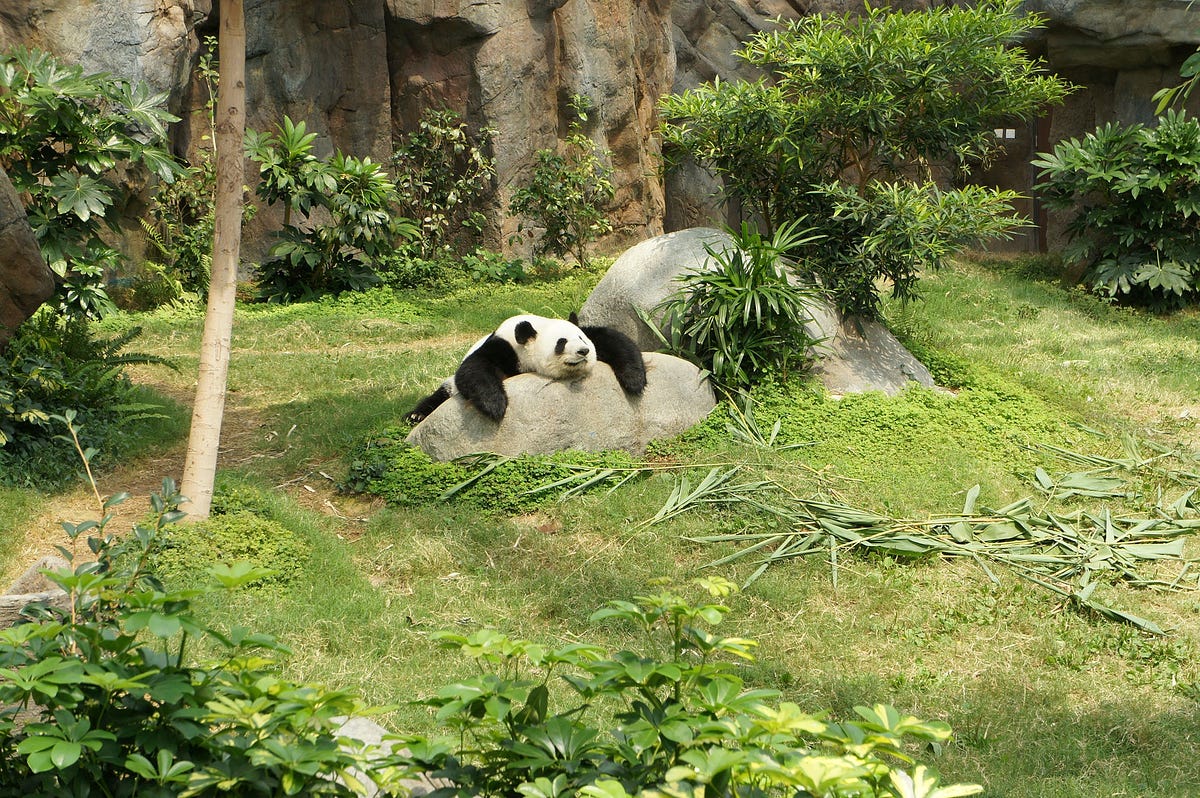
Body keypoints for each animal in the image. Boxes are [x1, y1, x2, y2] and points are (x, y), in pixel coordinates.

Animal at [406, 313, 646, 423]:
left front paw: (634, 381)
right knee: (443, 392)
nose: (583, 351)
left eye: (581, 339)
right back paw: (416, 416)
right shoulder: (503, 347)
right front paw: (495, 405)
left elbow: (615, 339)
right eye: (561, 343)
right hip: (448, 389)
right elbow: (474, 369)